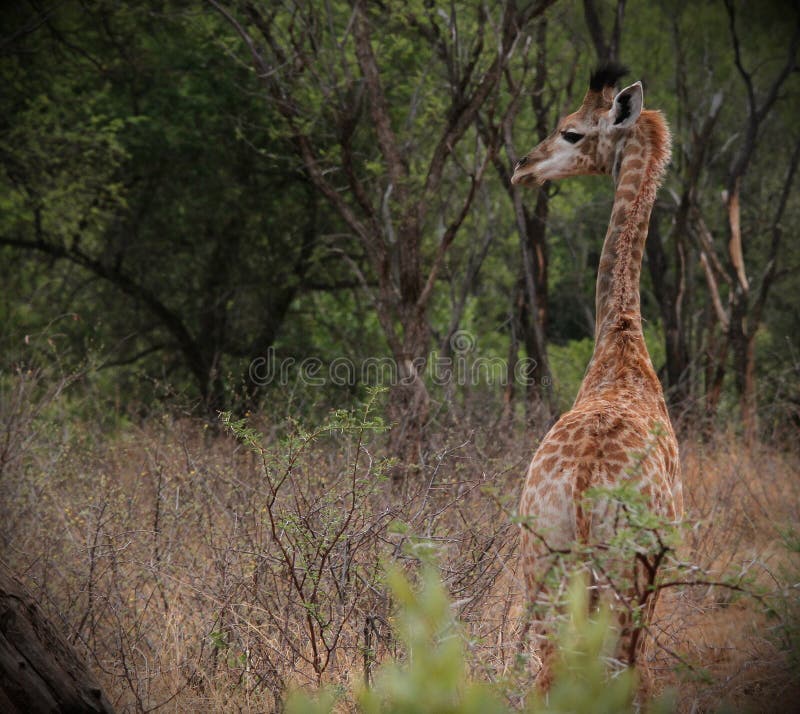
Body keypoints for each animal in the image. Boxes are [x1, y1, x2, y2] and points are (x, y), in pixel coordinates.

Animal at [510, 64, 683, 689]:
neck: (621, 347)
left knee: (547, 675)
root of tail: (584, 488)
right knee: (619, 673)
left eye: (572, 132)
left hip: (543, 567)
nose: (522, 167)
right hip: (623, 579)